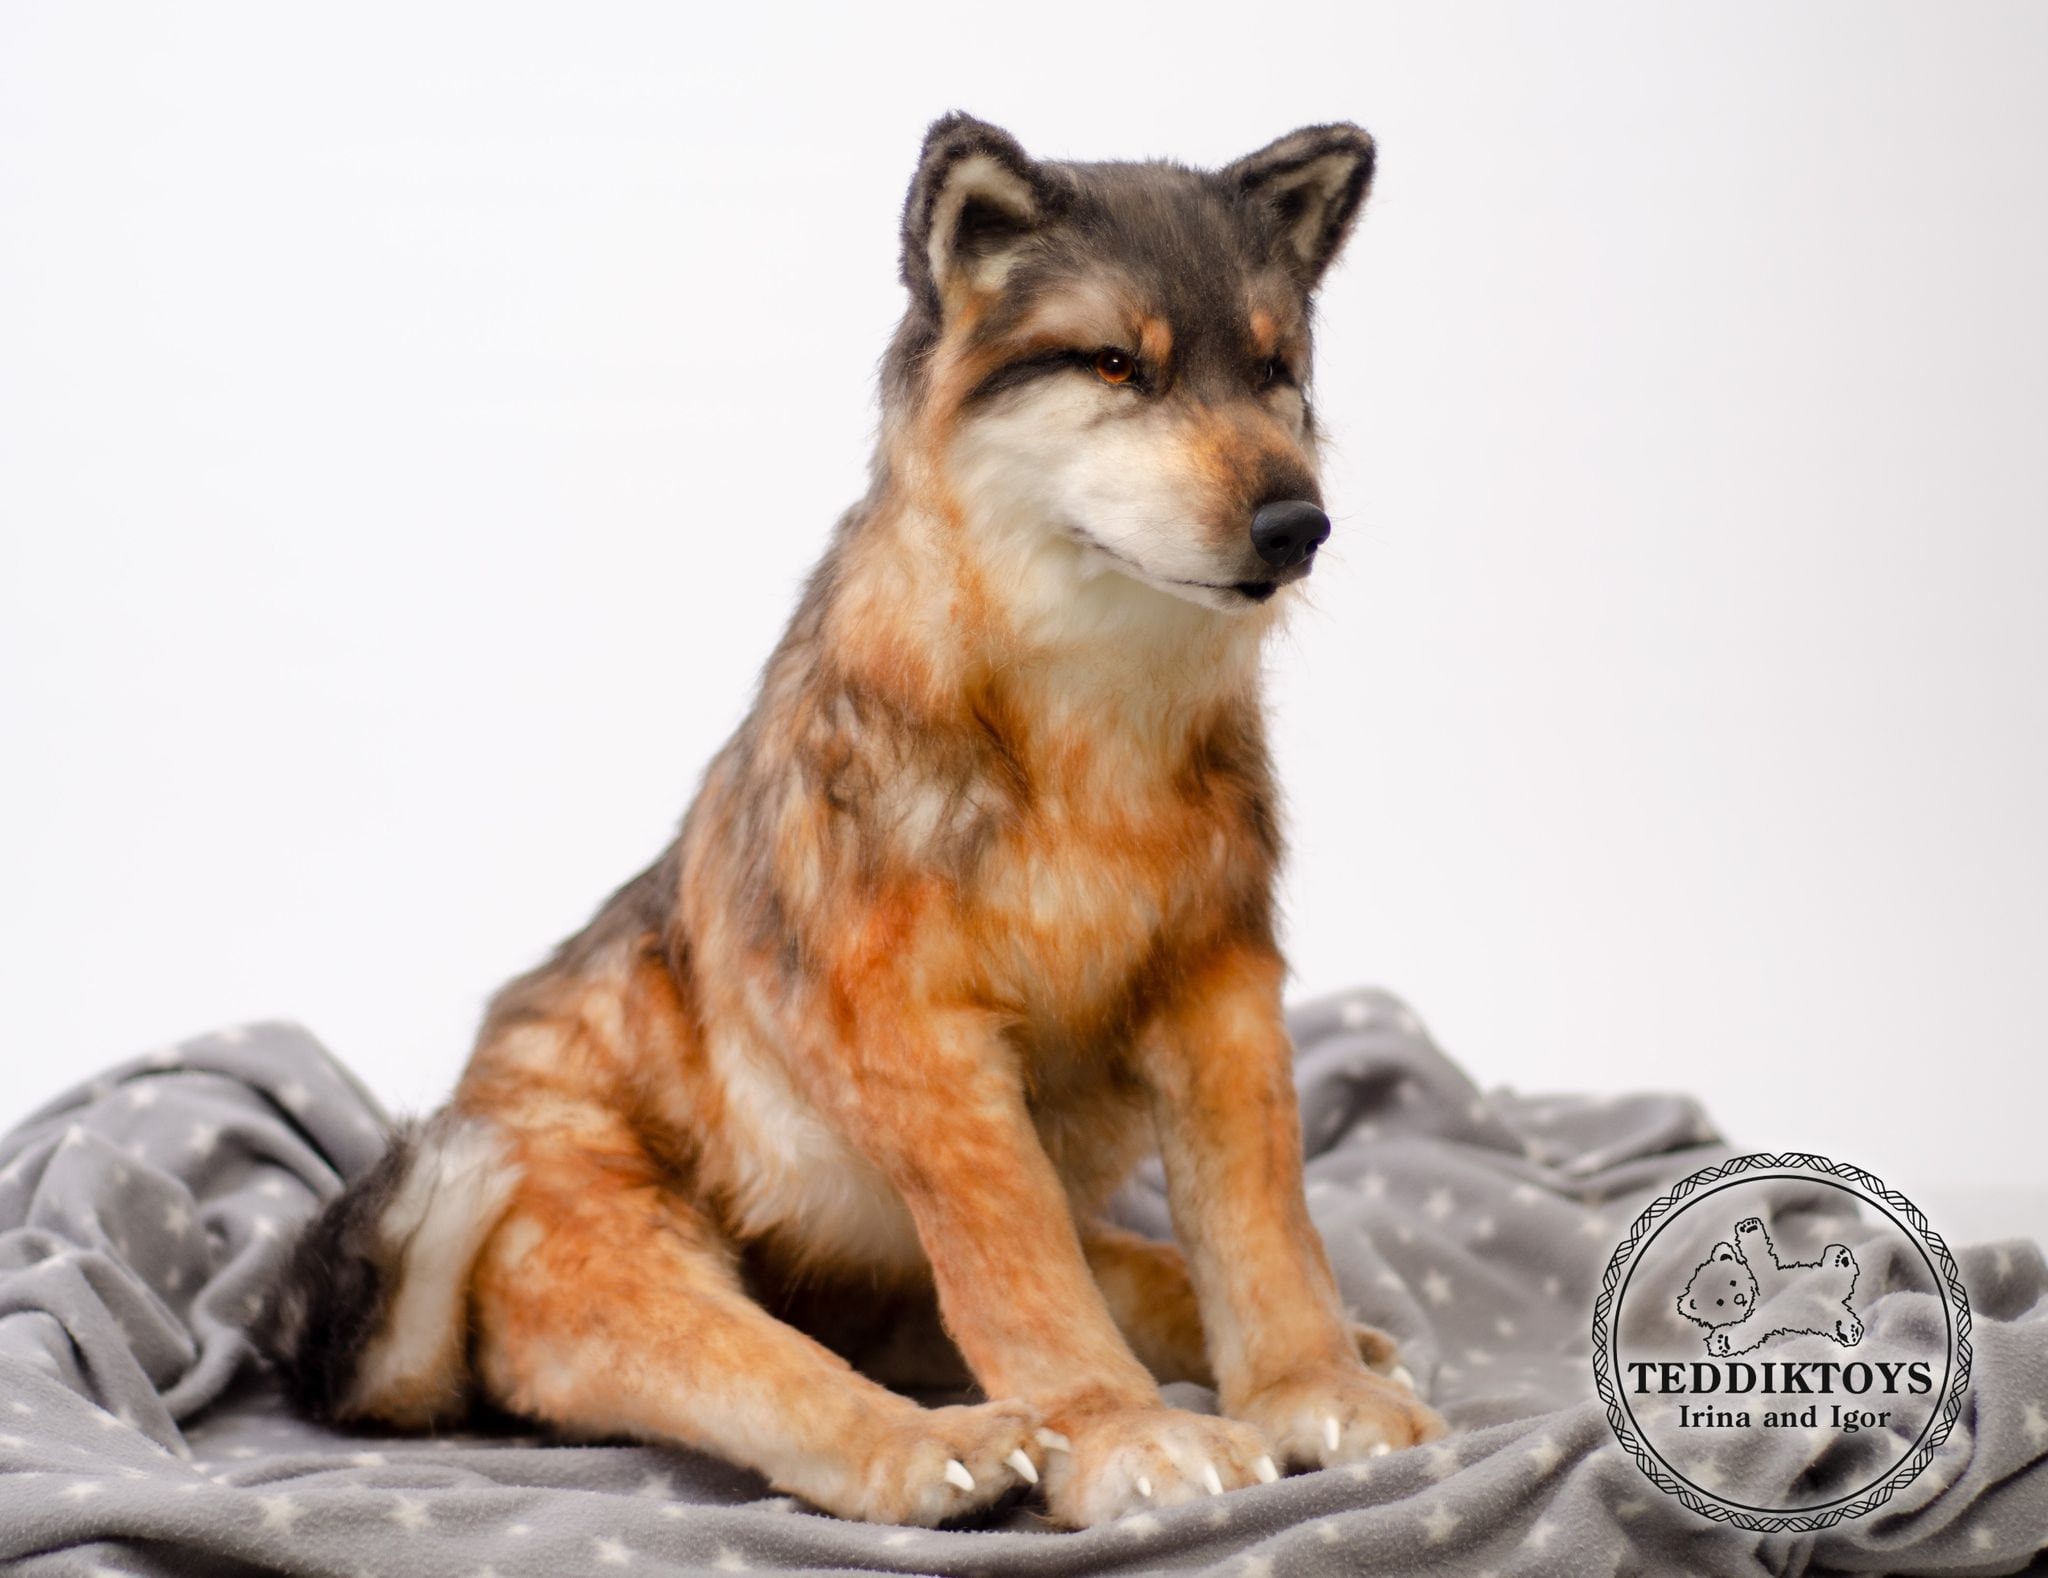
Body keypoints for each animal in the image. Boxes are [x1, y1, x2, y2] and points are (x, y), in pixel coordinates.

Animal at [261, 112, 1447, 1528]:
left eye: (1274, 371)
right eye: (1117, 364)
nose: (1295, 523)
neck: (1084, 738)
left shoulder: (1218, 996)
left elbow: (1263, 1231)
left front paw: (1314, 1390)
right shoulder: (926, 1043)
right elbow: (1020, 1273)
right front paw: (1120, 1437)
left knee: (1111, 1271)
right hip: (639, 1257)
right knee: (788, 1373)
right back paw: (936, 1452)